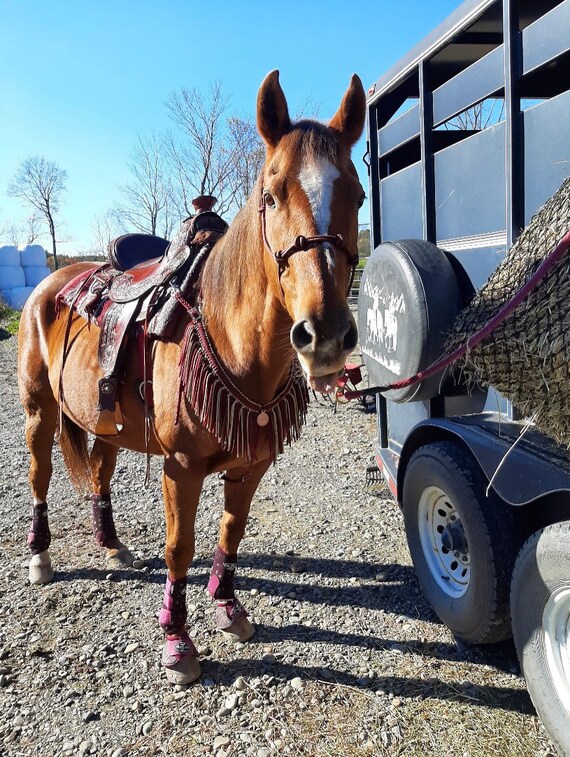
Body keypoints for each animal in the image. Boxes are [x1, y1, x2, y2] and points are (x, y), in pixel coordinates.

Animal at [17, 70, 366, 685]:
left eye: (359, 196)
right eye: (270, 195)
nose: (324, 334)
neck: (231, 338)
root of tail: (50, 286)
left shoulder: (251, 462)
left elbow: (232, 529)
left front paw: (228, 607)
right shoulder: (180, 468)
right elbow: (180, 547)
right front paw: (177, 642)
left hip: (105, 424)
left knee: (101, 474)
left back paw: (111, 544)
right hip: (39, 412)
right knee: (40, 478)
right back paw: (40, 556)